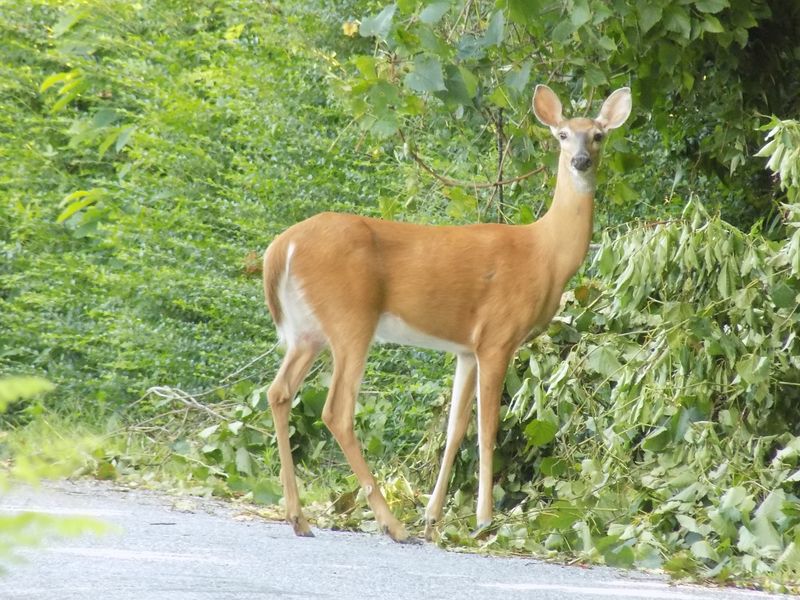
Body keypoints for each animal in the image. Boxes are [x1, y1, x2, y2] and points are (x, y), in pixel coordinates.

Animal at [262, 84, 632, 542]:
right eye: (562, 135)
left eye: (598, 135)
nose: (580, 160)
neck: (545, 254)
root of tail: (281, 247)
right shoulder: (498, 337)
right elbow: (487, 430)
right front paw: (484, 520)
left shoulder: (466, 349)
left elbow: (455, 428)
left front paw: (433, 517)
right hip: (350, 317)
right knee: (337, 411)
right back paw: (390, 524)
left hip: (305, 331)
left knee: (278, 392)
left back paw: (300, 518)